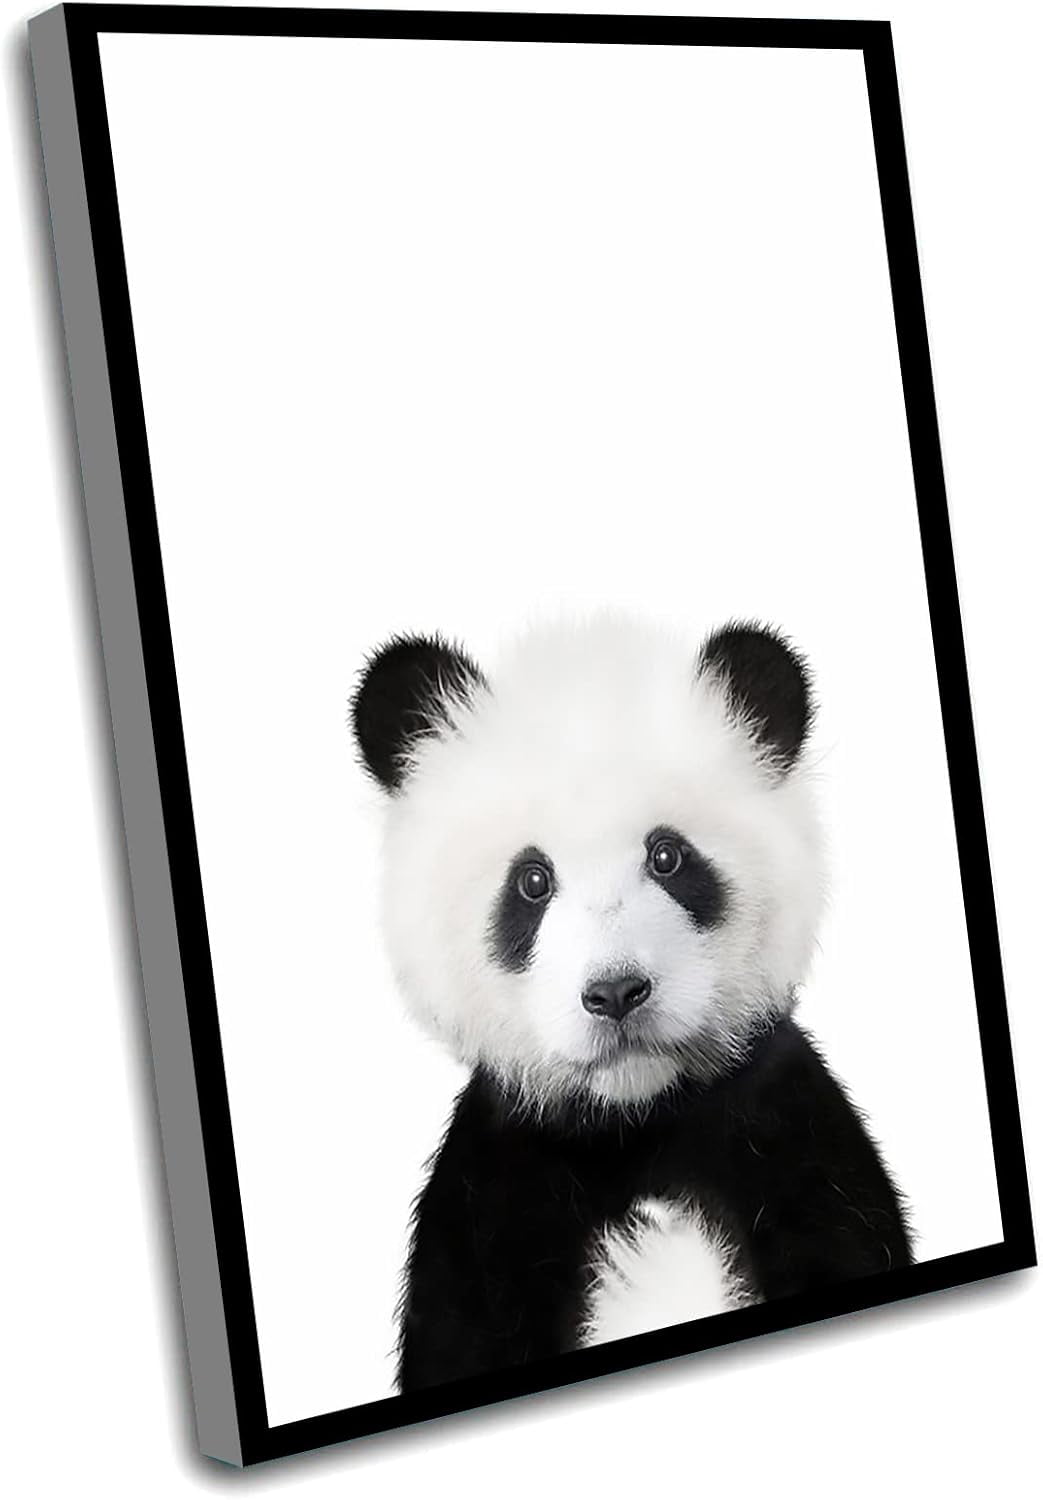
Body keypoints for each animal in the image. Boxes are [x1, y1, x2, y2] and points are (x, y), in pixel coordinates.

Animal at [350, 614, 911, 1392]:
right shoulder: (487, 1217)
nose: (616, 992)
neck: (635, 1119)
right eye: (531, 881)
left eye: (668, 856)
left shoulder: (798, 1149)